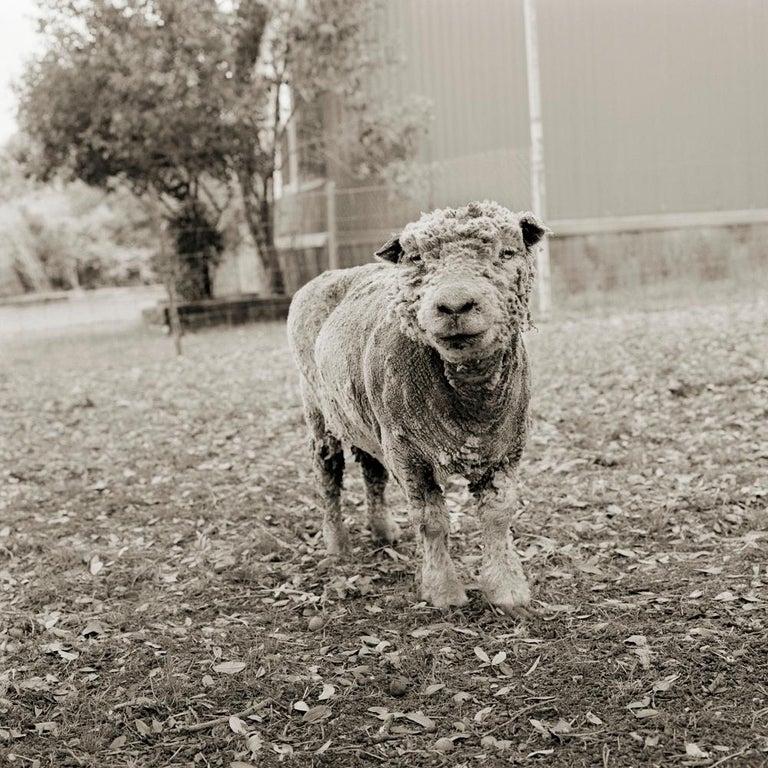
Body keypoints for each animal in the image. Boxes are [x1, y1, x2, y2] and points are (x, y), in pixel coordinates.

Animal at [287, 201, 550, 614]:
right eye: (416, 260)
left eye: (507, 253)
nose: (455, 305)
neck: (470, 404)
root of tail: (337, 272)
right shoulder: (409, 455)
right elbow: (431, 521)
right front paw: (443, 592)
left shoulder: (505, 449)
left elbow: (497, 516)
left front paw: (508, 590)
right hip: (318, 409)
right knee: (328, 474)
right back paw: (337, 544)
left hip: (367, 418)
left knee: (372, 472)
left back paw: (383, 530)